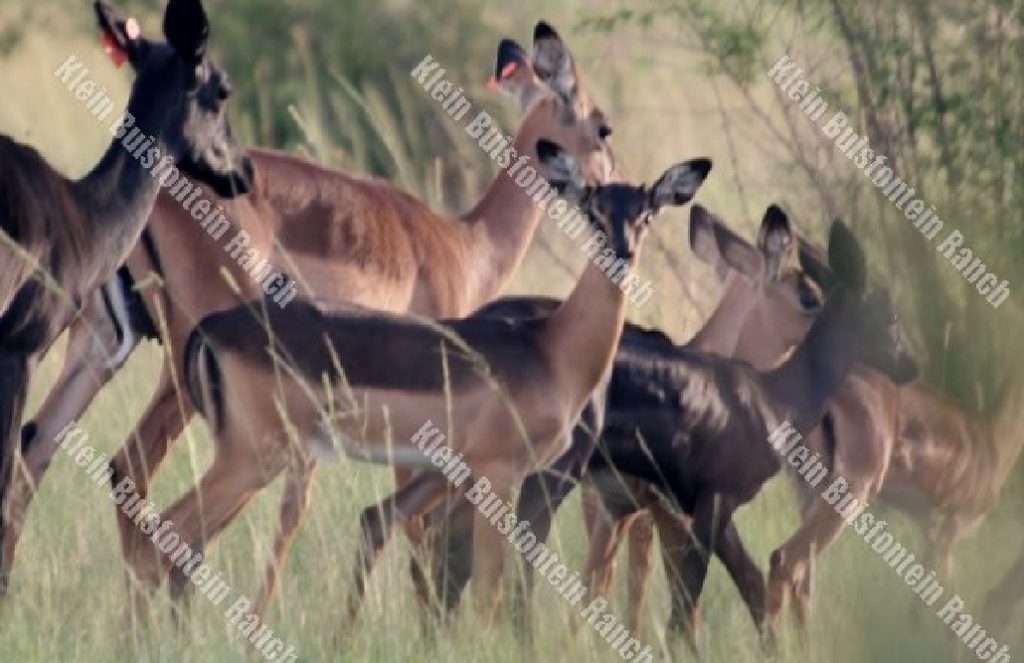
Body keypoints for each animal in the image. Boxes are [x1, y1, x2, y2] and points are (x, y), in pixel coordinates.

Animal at [131, 142, 710, 624]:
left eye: (647, 211)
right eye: (593, 208)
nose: (622, 252)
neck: (550, 349)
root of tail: (212, 330)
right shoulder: (498, 475)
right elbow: (488, 593)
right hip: (253, 459)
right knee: (163, 539)